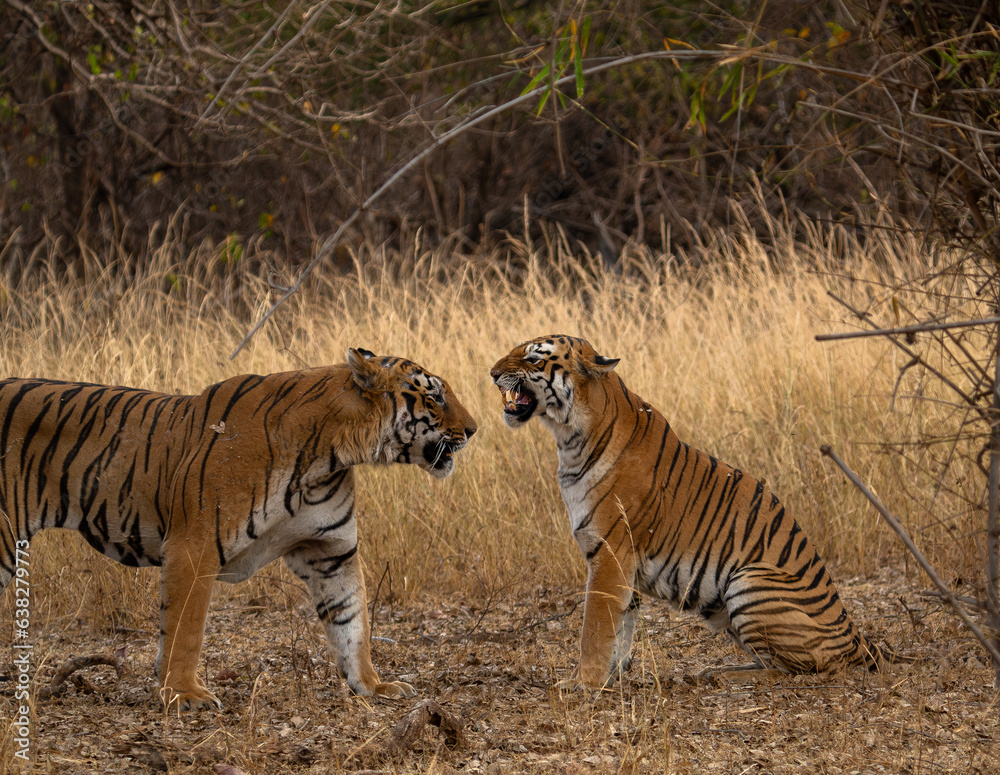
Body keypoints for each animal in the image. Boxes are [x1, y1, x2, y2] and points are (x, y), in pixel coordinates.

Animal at [0, 348, 476, 710]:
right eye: (434, 396)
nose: (474, 429)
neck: (329, 456)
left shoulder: (332, 553)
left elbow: (352, 622)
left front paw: (373, 685)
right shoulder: (192, 547)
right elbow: (185, 628)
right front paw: (184, 694)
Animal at [490, 334, 886, 688]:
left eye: (533, 358)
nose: (492, 373)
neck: (570, 438)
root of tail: (855, 634)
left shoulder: (611, 553)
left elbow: (596, 626)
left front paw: (582, 683)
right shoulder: (620, 562)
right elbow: (623, 625)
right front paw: (614, 675)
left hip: (749, 580)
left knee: (796, 669)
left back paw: (725, 677)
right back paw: (717, 670)